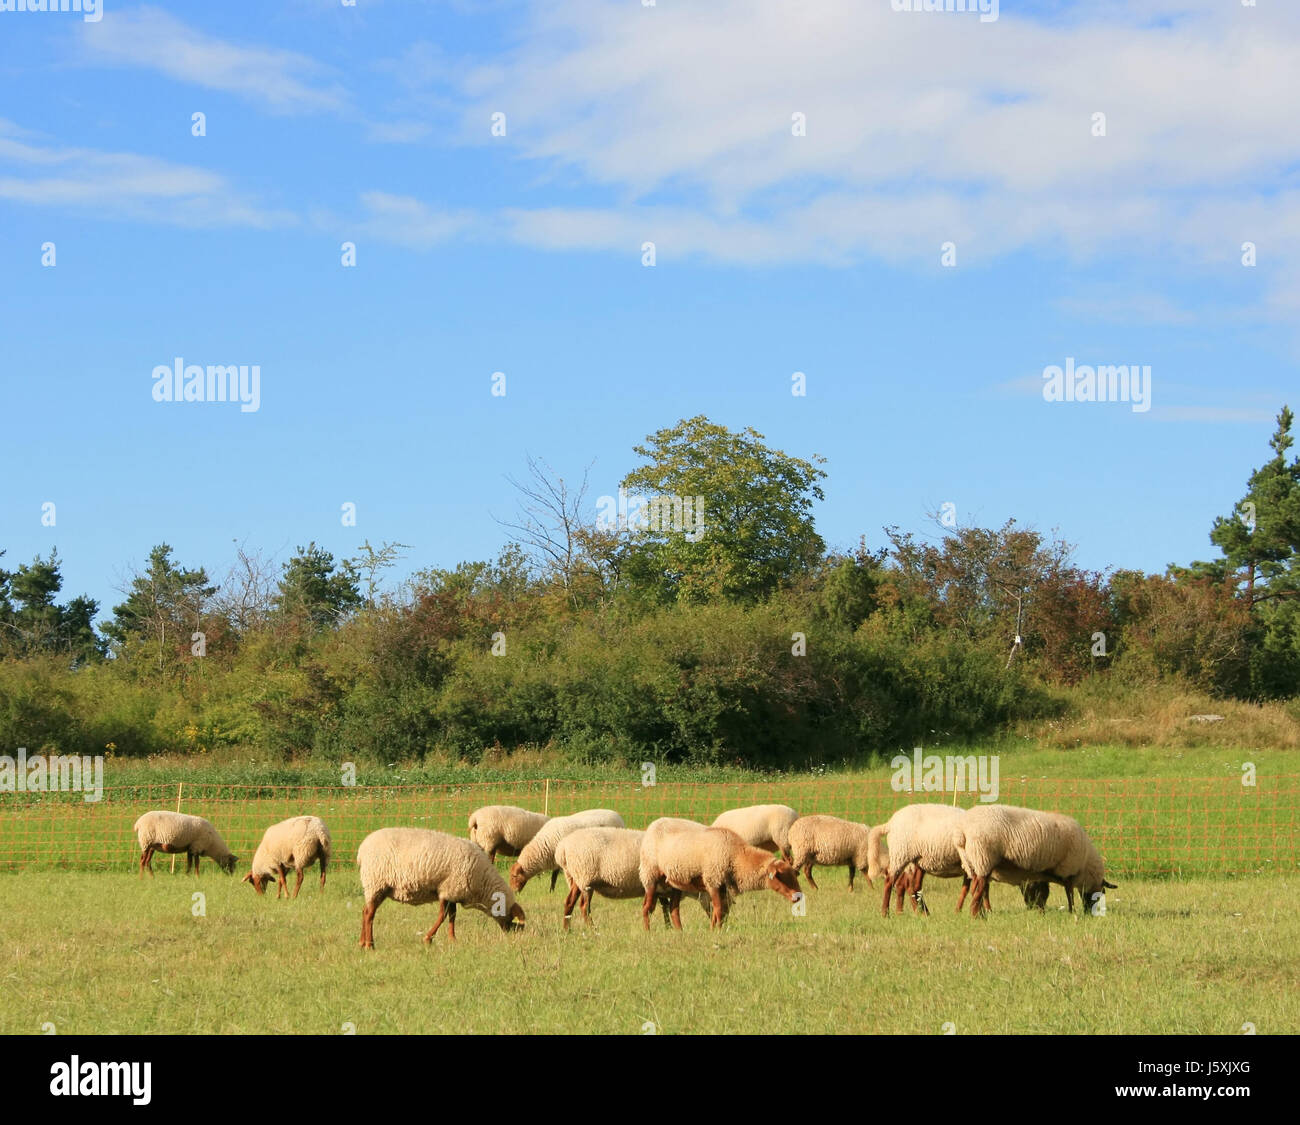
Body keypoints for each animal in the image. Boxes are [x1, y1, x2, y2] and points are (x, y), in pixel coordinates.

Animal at [357, 827, 526, 948]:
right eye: (513, 918)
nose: (512, 935)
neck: (483, 883)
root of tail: (362, 849)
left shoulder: (454, 892)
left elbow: (452, 916)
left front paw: (452, 939)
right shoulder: (447, 890)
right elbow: (443, 916)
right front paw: (428, 939)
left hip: (376, 886)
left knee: (365, 911)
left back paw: (361, 943)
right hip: (376, 883)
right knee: (369, 914)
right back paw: (369, 945)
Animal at [641, 824, 801, 930]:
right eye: (781, 877)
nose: (799, 896)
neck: (736, 857)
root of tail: (651, 828)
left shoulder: (723, 887)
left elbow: (721, 911)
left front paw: (717, 929)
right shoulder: (713, 880)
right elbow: (717, 909)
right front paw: (715, 931)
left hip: (675, 881)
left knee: (674, 909)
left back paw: (680, 932)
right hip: (650, 876)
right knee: (646, 908)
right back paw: (648, 932)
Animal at [953, 804, 1115, 918]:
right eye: (1101, 893)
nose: (1089, 913)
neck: (1086, 865)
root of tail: (961, 832)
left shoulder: (1042, 876)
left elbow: (1042, 895)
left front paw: (1041, 913)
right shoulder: (1068, 869)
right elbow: (1069, 894)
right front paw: (1072, 913)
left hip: (972, 862)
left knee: (975, 890)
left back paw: (980, 914)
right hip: (983, 857)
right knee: (978, 890)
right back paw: (977, 916)